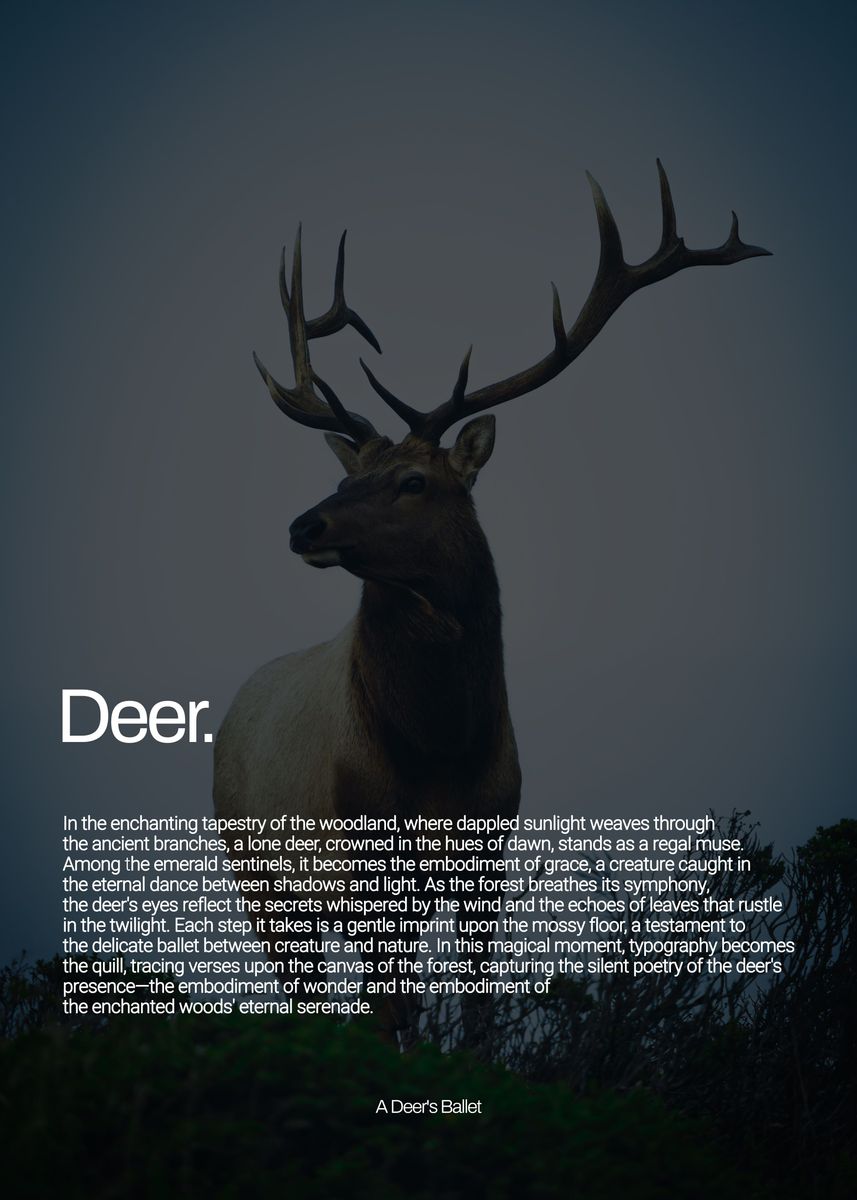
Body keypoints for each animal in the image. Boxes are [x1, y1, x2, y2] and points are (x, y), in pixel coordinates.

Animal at [213, 162, 769, 1046]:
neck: (441, 746)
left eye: (414, 481)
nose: (304, 525)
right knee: (308, 996)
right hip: (262, 878)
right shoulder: (370, 864)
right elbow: (390, 1015)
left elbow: (472, 1011)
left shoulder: (489, 857)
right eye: (346, 475)